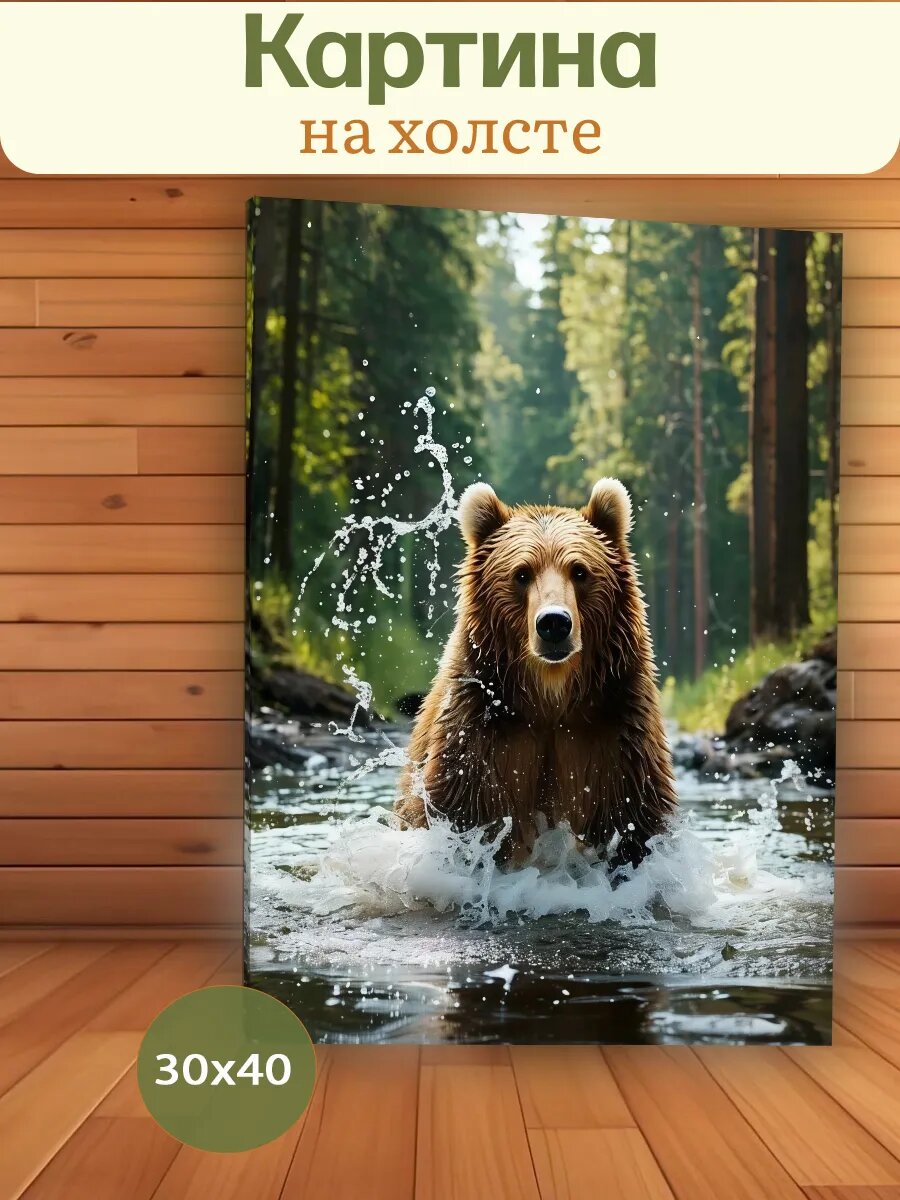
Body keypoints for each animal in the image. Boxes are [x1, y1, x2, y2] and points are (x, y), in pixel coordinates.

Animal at [394, 478, 676, 871]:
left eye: (579, 571)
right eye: (522, 573)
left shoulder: (619, 734)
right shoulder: (477, 738)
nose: (554, 623)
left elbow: (638, 824)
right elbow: (453, 816)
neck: (550, 696)